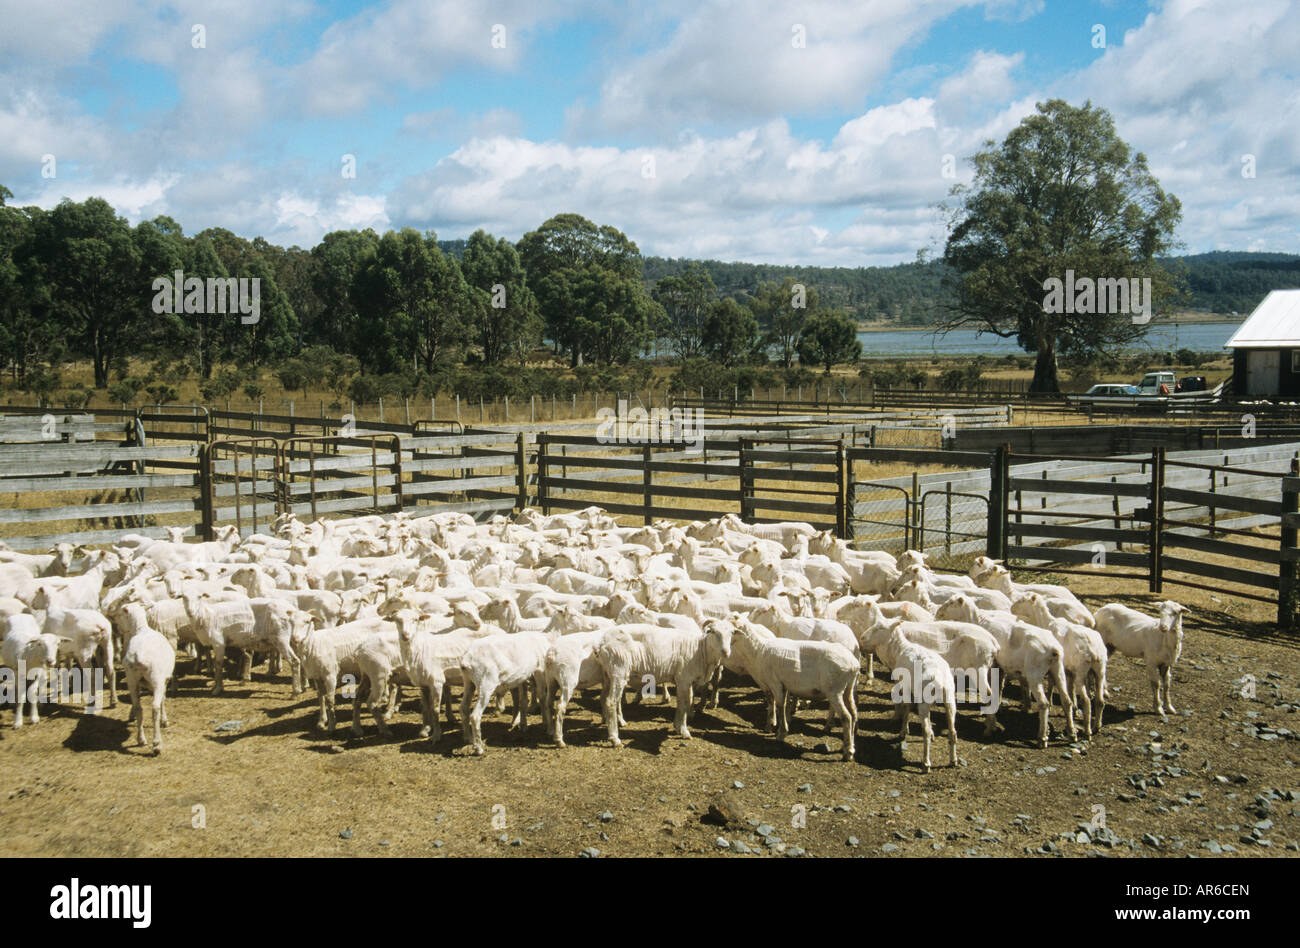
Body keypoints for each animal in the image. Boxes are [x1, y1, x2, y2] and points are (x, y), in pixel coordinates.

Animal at [123, 626, 176, 755]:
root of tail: (139, 656)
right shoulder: (163, 681)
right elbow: (163, 700)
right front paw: (164, 721)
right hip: (156, 679)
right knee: (155, 707)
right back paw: (157, 744)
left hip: (131, 680)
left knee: (138, 707)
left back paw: (141, 739)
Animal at [596, 621, 732, 746]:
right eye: (713, 632)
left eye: (731, 633)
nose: (725, 652)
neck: (701, 650)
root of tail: (603, 642)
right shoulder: (684, 679)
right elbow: (684, 703)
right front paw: (684, 731)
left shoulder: (685, 681)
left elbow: (683, 702)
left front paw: (677, 726)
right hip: (619, 671)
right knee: (611, 701)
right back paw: (615, 738)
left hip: (608, 675)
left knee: (606, 698)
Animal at [724, 616, 858, 760]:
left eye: (731, 630)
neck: (759, 649)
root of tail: (854, 664)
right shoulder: (782, 684)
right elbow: (780, 704)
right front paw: (775, 725)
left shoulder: (775, 682)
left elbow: (780, 705)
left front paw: (781, 733)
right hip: (848, 689)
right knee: (854, 714)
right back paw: (849, 746)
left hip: (835, 690)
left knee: (846, 717)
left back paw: (848, 752)